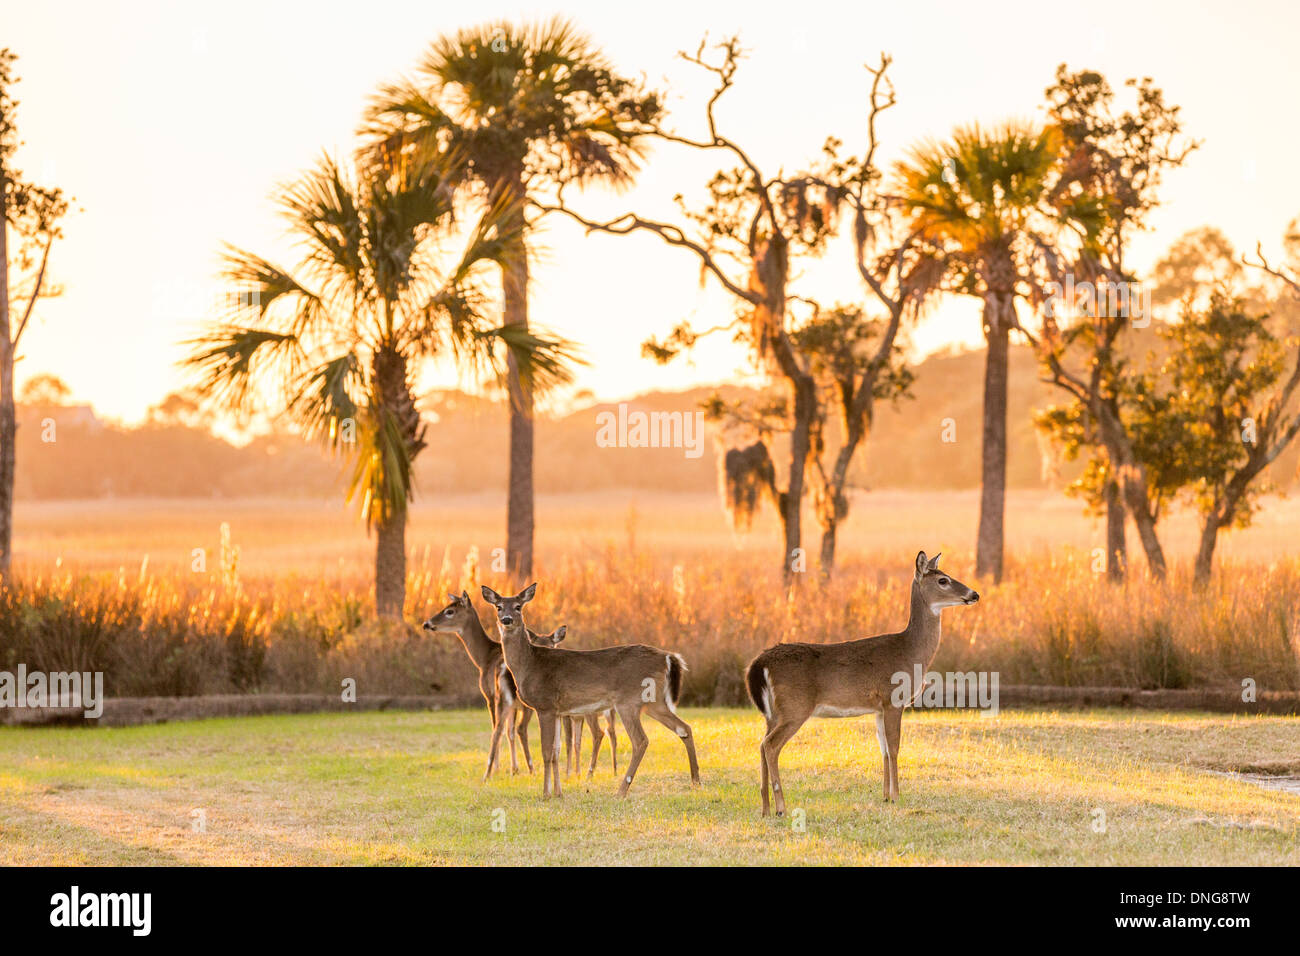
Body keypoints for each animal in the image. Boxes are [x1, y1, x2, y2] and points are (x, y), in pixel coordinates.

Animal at [481, 583, 700, 799]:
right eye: (498, 607)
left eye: (518, 606)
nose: (506, 619)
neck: (528, 665)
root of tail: (668, 657)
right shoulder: (558, 711)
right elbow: (556, 751)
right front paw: (558, 793)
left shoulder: (545, 706)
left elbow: (546, 751)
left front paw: (545, 794)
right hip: (653, 702)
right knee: (684, 728)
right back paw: (696, 781)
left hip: (629, 701)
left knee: (641, 740)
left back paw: (621, 791)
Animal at [745, 551, 979, 816]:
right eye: (943, 580)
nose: (974, 594)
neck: (911, 652)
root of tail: (759, 663)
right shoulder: (893, 699)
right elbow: (895, 747)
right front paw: (897, 796)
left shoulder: (878, 708)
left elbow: (884, 749)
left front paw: (886, 797)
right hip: (795, 707)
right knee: (770, 745)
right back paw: (781, 807)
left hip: (772, 713)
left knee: (761, 745)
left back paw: (765, 808)